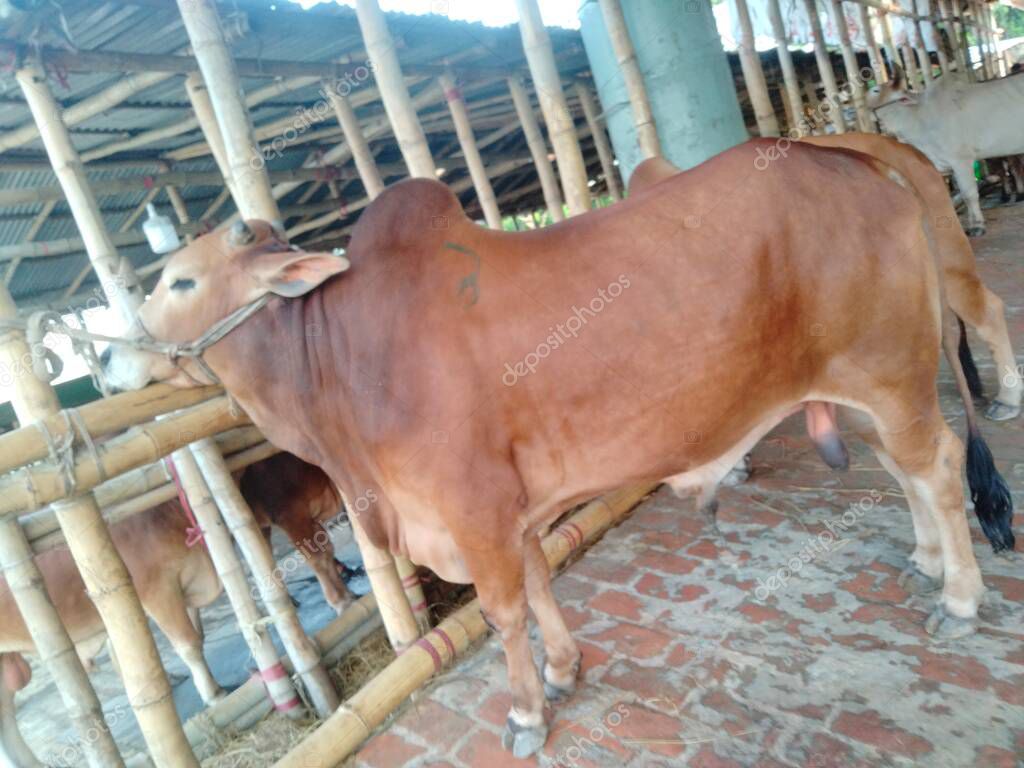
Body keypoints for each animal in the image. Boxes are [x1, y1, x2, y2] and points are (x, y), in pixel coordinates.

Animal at [102, 139, 1014, 758]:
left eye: (180, 282)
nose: (107, 358)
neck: (341, 357)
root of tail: (858, 157)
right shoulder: (510, 513)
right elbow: (540, 583)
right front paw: (566, 670)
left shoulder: (472, 512)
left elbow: (505, 613)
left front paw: (525, 713)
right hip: (865, 387)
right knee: (904, 468)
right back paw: (928, 560)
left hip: (890, 373)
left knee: (936, 468)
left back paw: (962, 595)